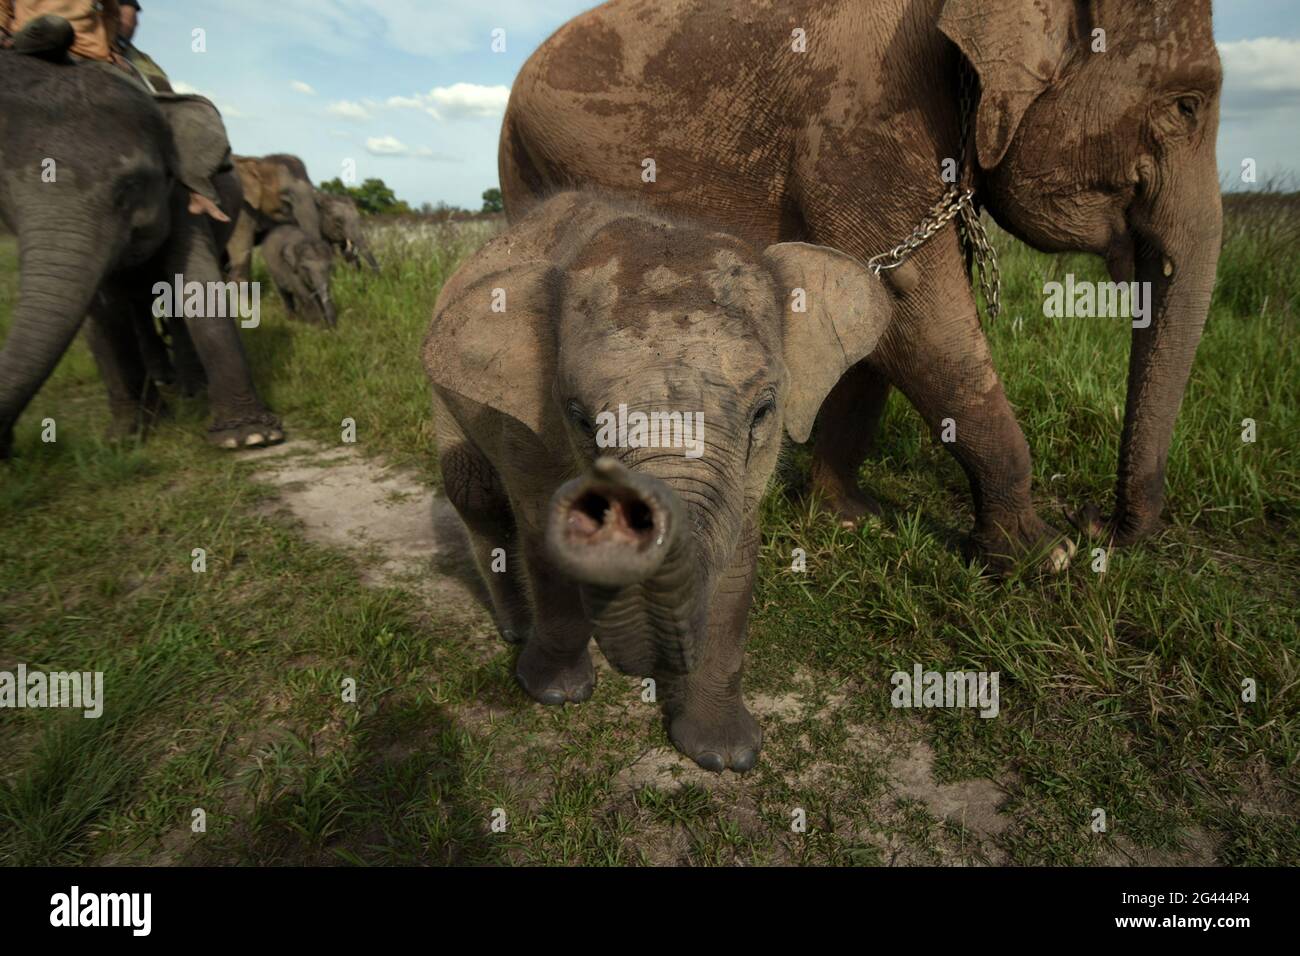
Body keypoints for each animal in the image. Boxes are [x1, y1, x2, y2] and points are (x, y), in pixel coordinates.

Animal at [0, 46, 284, 457]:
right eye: (6, 195)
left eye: (132, 187)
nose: (7, 444)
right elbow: (101, 314)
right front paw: (125, 439)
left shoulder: (183, 192)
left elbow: (195, 287)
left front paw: (250, 438)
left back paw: (191, 392)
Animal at [424, 191, 892, 770]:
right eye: (580, 419)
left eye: (763, 411)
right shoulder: (529, 429)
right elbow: (540, 535)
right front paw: (556, 694)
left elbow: (737, 558)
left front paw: (725, 756)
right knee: (477, 498)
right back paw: (514, 631)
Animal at [500, 0, 1224, 571]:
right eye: (1187, 106)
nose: (1097, 522)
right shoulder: (865, 122)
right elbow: (920, 312)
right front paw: (1043, 557)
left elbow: (876, 306)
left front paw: (847, 517)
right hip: (528, 165)